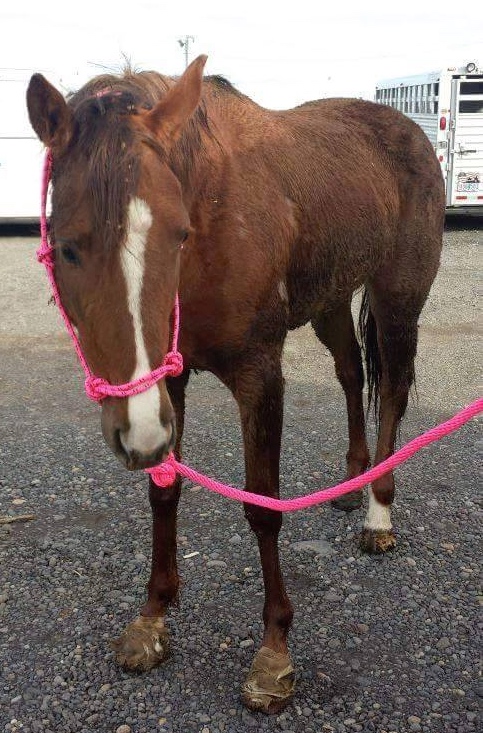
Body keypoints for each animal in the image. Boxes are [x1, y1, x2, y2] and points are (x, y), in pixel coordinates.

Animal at [26, 55, 445, 713]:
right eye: (67, 247)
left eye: (179, 233)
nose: (134, 436)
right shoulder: (168, 388)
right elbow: (165, 492)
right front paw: (152, 618)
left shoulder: (258, 377)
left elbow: (263, 508)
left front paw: (273, 654)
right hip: (329, 299)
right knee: (351, 374)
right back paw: (353, 483)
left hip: (398, 299)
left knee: (394, 393)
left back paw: (378, 514)